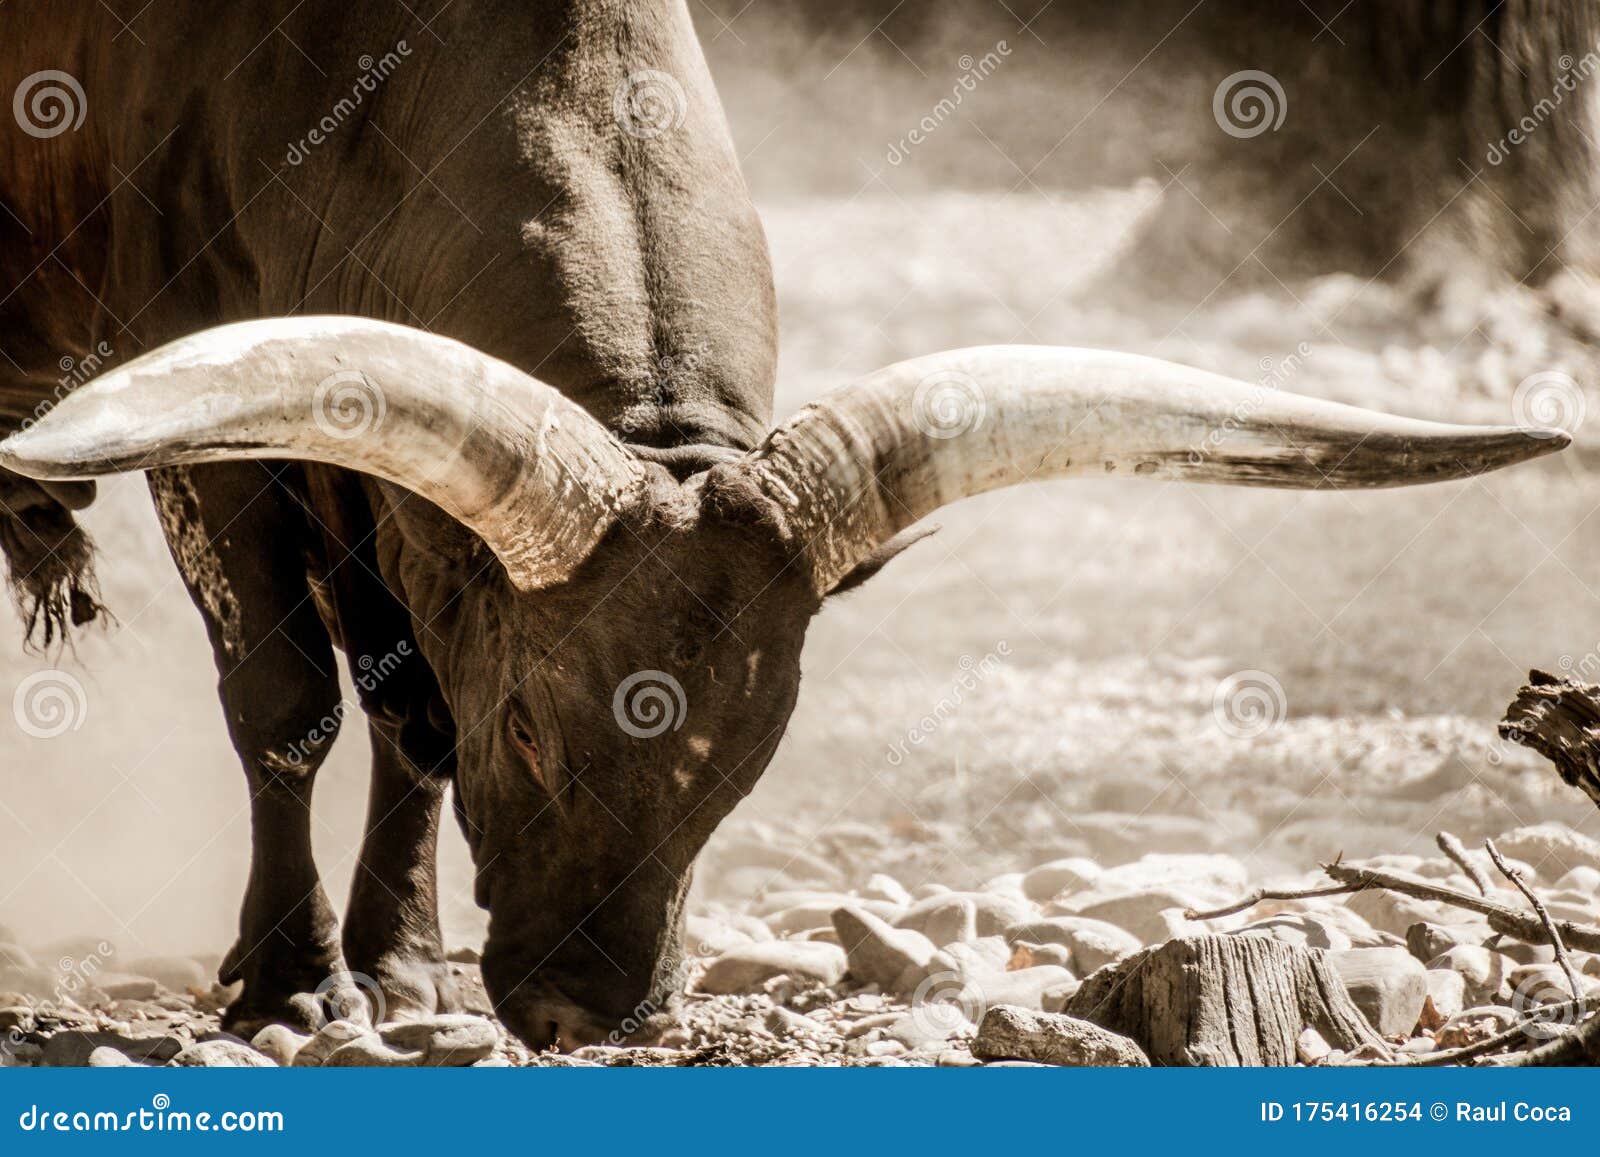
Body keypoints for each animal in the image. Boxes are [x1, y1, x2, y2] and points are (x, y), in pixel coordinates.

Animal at [0, 1, 1568, 1050]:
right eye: (535, 729)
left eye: (753, 747)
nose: (587, 1007)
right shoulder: (223, 448)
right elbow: (290, 704)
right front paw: (292, 977)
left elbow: (412, 722)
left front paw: (400, 968)